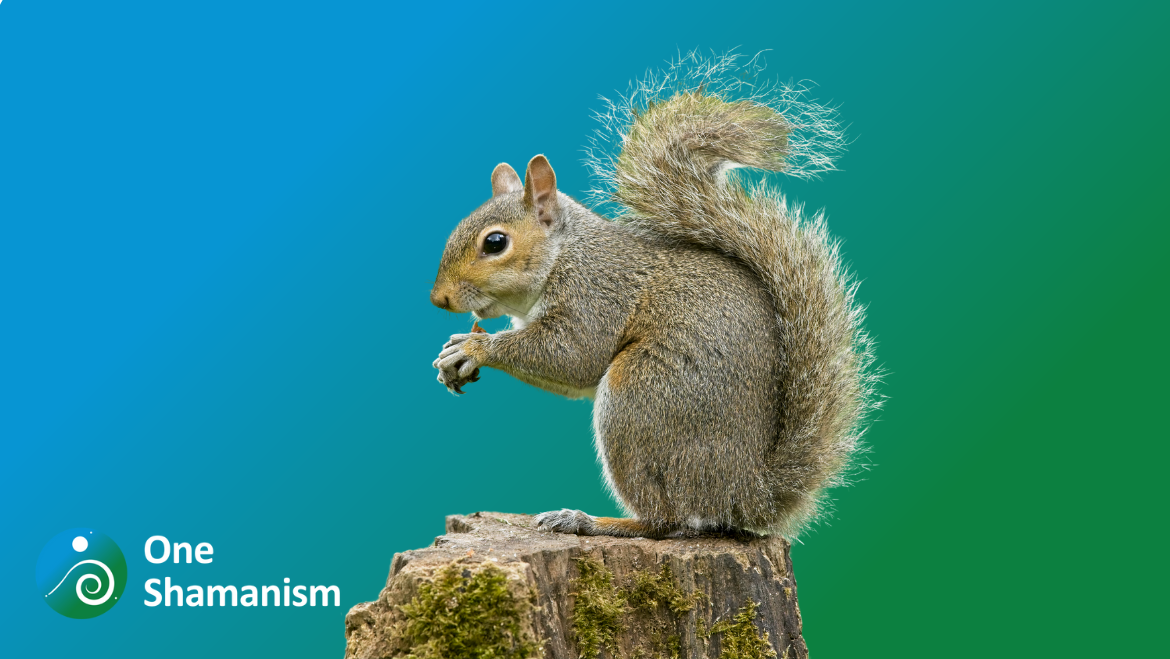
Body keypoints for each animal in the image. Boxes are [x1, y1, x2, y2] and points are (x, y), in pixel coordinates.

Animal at [429, 70, 875, 539]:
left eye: (495, 242)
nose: (438, 299)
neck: (564, 254)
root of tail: (745, 493)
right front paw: (451, 359)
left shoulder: (596, 294)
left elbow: (573, 357)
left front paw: (474, 348)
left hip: (640, 399)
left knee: (665, 519)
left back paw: (589, 520)